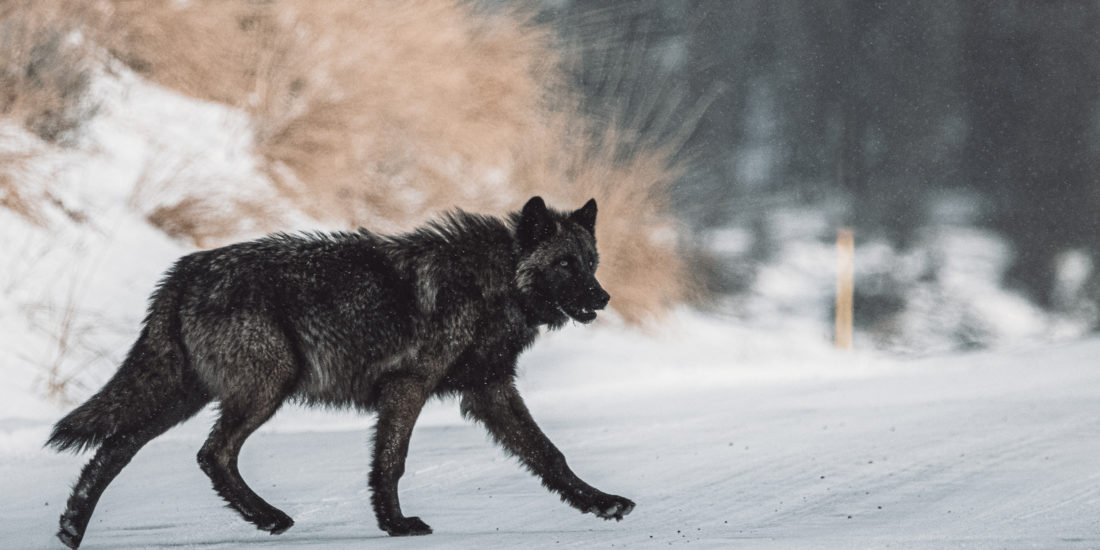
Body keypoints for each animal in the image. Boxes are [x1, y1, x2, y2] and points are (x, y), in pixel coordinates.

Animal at [46, 196, 634, 549]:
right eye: (565, 264)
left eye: (592, 262)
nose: (604, 298)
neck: (493, 283)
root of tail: (185, 269)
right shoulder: (410, 386)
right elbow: (391, 462)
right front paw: (397, 525)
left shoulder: (489, 391)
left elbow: (549, 454)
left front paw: (600, 503)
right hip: (266, 387)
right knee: (212, 453)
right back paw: (269, 518)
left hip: (183, 397)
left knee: (116, 450)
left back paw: (73, 528)